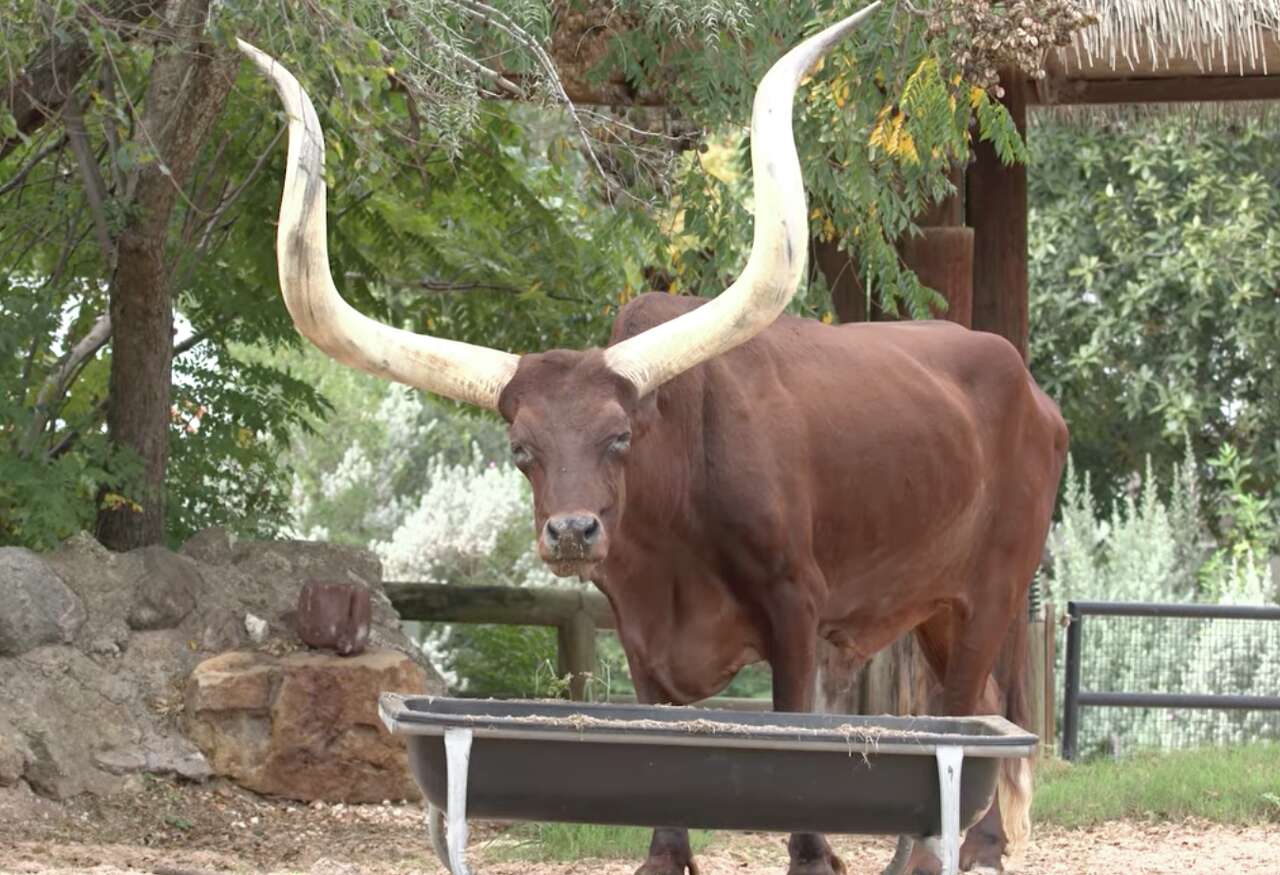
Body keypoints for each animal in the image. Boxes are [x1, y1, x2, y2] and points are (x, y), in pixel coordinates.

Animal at [238, 2, 1067, 873]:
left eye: (619, 437)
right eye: (520, 448)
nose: (572, 532)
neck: (675, 536)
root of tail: (1032, 391)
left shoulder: (796, 606)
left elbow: (799, 733)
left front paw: (815, 851)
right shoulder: (635, 625)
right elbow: (658, 739)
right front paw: (666, 850)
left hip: (995, 587)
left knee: (971, 711)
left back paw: (952, 850)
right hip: (934, 603)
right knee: (978, 707)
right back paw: (947, 848)